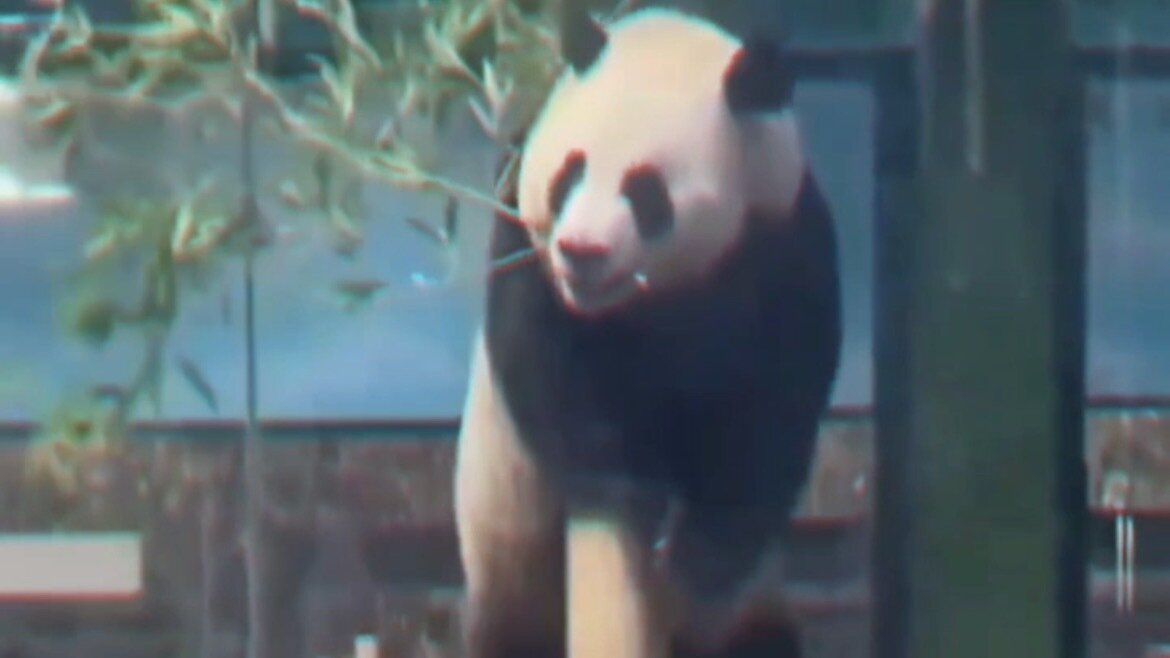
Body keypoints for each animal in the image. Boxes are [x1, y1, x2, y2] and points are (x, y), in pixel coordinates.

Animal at [453, 6, 841, 658]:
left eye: (645, 191)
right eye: (570, 173)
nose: (581, 251)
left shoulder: (783, 238)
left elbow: (779, 402)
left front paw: (701, 555)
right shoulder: (525, 229)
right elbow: (539, 359)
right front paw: (629, 488)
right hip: (508, 547)